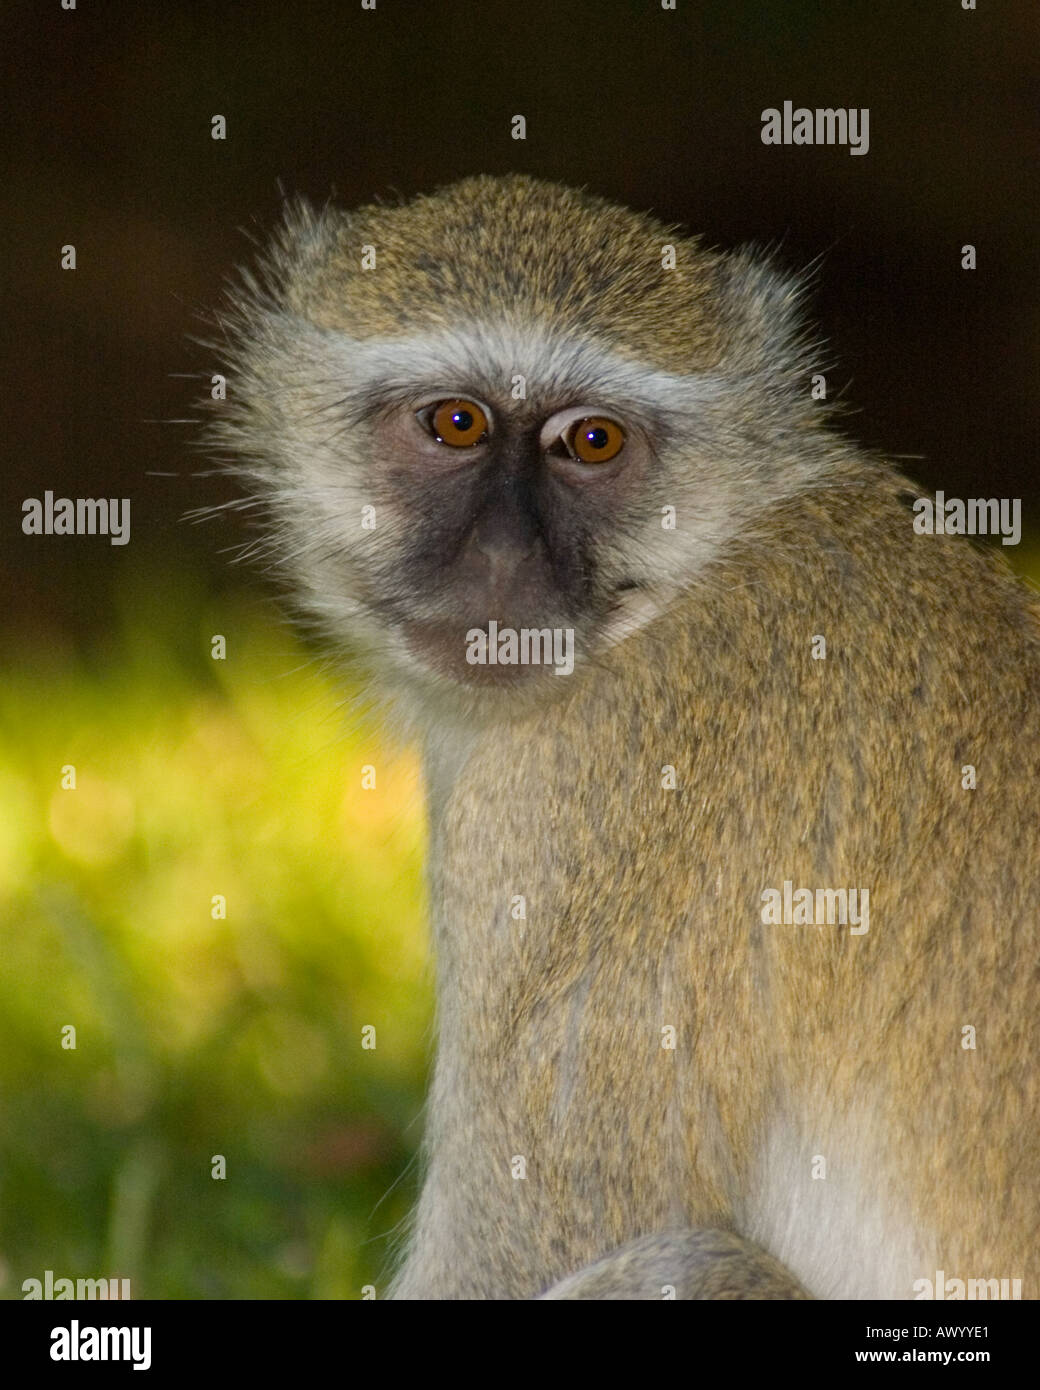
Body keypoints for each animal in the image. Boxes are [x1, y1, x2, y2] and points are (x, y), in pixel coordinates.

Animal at [205, 173, 1040, 1300]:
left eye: (591, 442)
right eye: (456, 423)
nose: (504, 561)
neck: (699, 569)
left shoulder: (583, 800)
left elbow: (515, 1250)